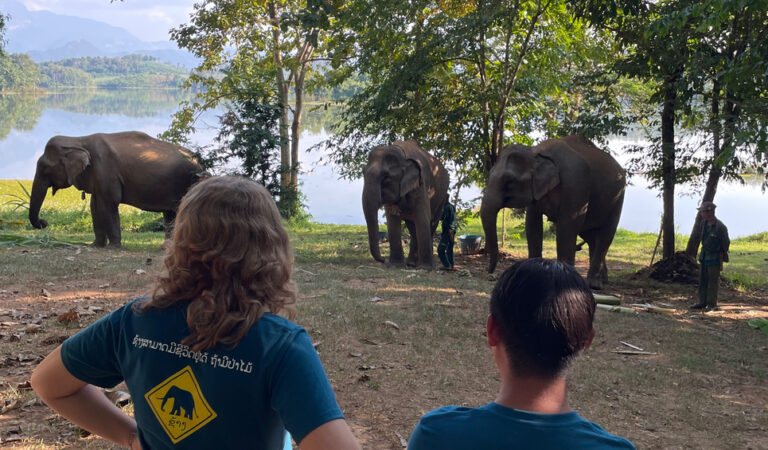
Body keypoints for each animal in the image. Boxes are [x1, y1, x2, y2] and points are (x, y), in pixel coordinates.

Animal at [29, 131, 204, 247]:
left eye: (45, 169)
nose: (44, 222)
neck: (78, 139)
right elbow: (94, 206)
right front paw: (95, 245)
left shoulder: (106, 170)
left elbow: (108, 204)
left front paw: (113, 247)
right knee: (170, 214)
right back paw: (166, 246)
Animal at [362, 140, 450, 269]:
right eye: (363, 173)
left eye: (386, 176)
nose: (383, 260)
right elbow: (392, 221)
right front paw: (395, 265)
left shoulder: (421, 184)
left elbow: (423, 218)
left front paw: (426, 268)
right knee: (412, 227)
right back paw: (411, 263)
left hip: (442, 197)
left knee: (432, 223)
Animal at [481, 134, 626, 289]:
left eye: (509, 181)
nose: (490, 274)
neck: (536, 152)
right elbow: (532, 223)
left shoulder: (575, 183)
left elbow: (568, 225)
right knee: (590, 236)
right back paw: (603, 280)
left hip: (618, 197)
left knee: (606, 234)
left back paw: (594, 284)